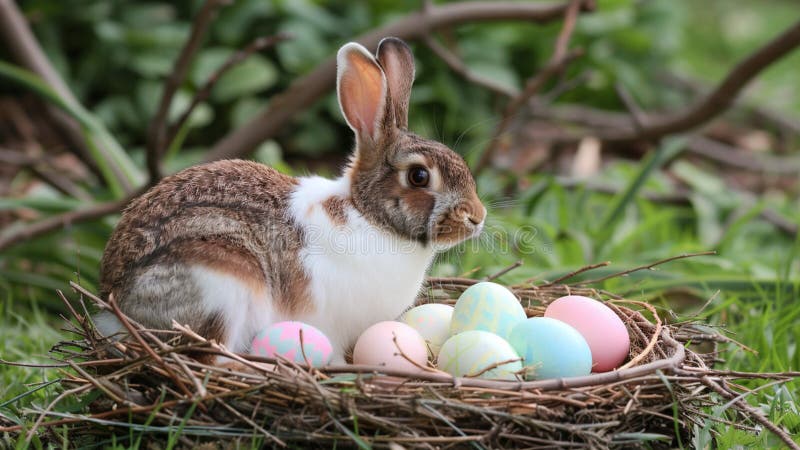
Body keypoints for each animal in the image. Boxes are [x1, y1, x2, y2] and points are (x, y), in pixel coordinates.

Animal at [95, 37, 486, 365]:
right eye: (419, 176)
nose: (477, 217)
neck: (368, 214)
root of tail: (116, 302)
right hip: (224, 282)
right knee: (212, 357)